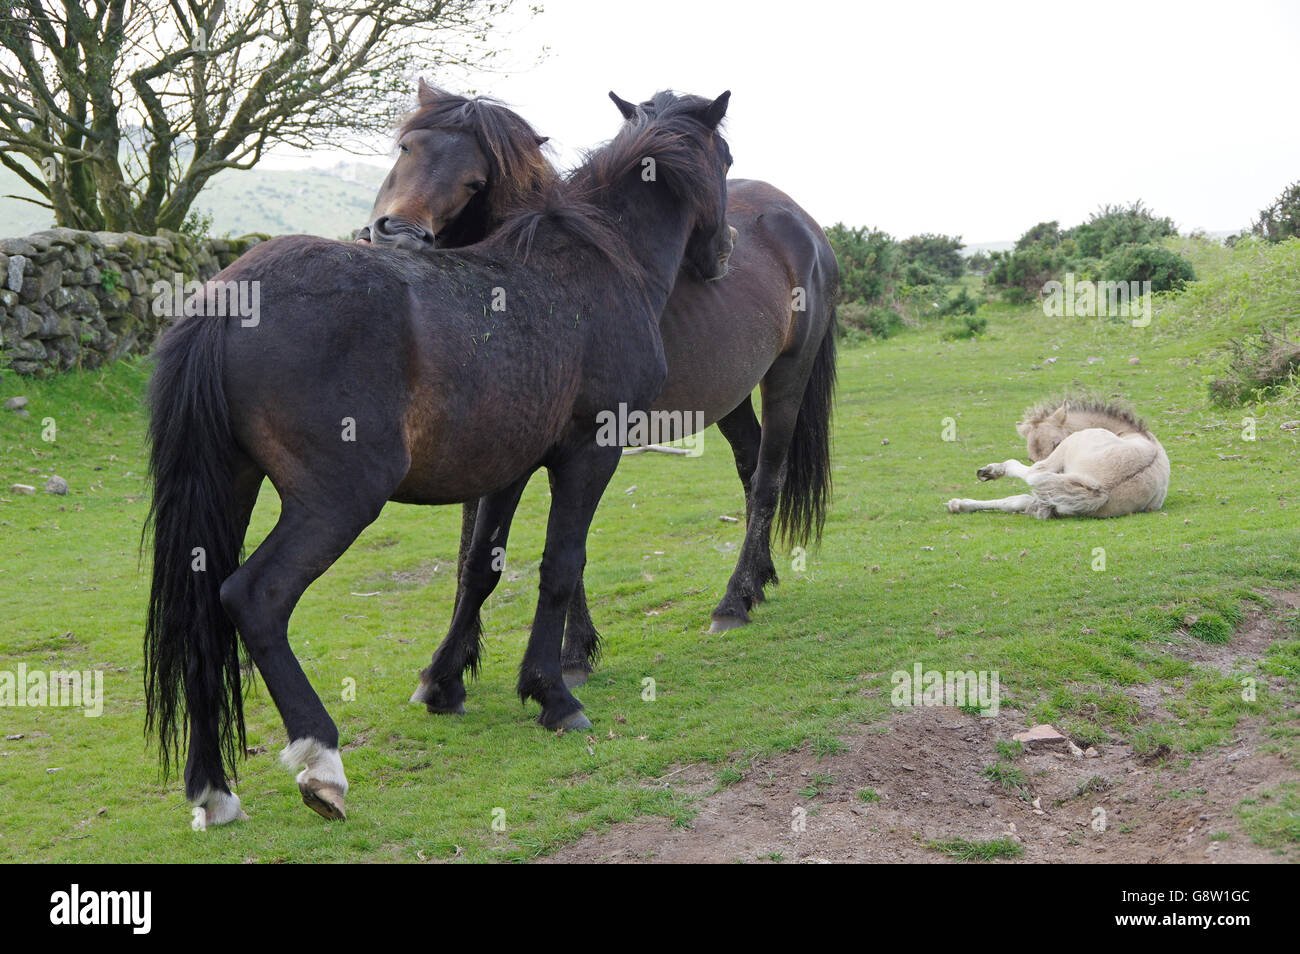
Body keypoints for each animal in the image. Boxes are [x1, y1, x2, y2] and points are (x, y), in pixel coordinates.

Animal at [144, 89, 735, 825]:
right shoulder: (589, 452)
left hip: (231, 485)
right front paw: (554, 696)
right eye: (727, 158)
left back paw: (213, 789)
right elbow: (560, 567)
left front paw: (447, 683)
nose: (724, 254)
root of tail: (229, 298)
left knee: (199, 611)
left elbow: (480, 569)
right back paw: (322, 762)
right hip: (337, 502)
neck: (599, 260)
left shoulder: (510, 466)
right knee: (253, 598)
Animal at [363, 83, 839, 698]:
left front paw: (569, 654)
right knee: (750, 467)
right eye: (405, 148)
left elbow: (563, 551)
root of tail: (800, 221)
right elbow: (478, 548)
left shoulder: (581, 443)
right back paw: (758, 580)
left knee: (766, 481)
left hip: (788, 376)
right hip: (731, 397)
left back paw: (732, 602)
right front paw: (458, 661)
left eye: (475, 179)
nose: (397, 234)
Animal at [945, 399, 1170, 518]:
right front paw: (958, 505)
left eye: (1055, 443)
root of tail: (1102, 488)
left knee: (1031, 474)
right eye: (1030, 456)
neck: (1128, 431)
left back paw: (990, 471)